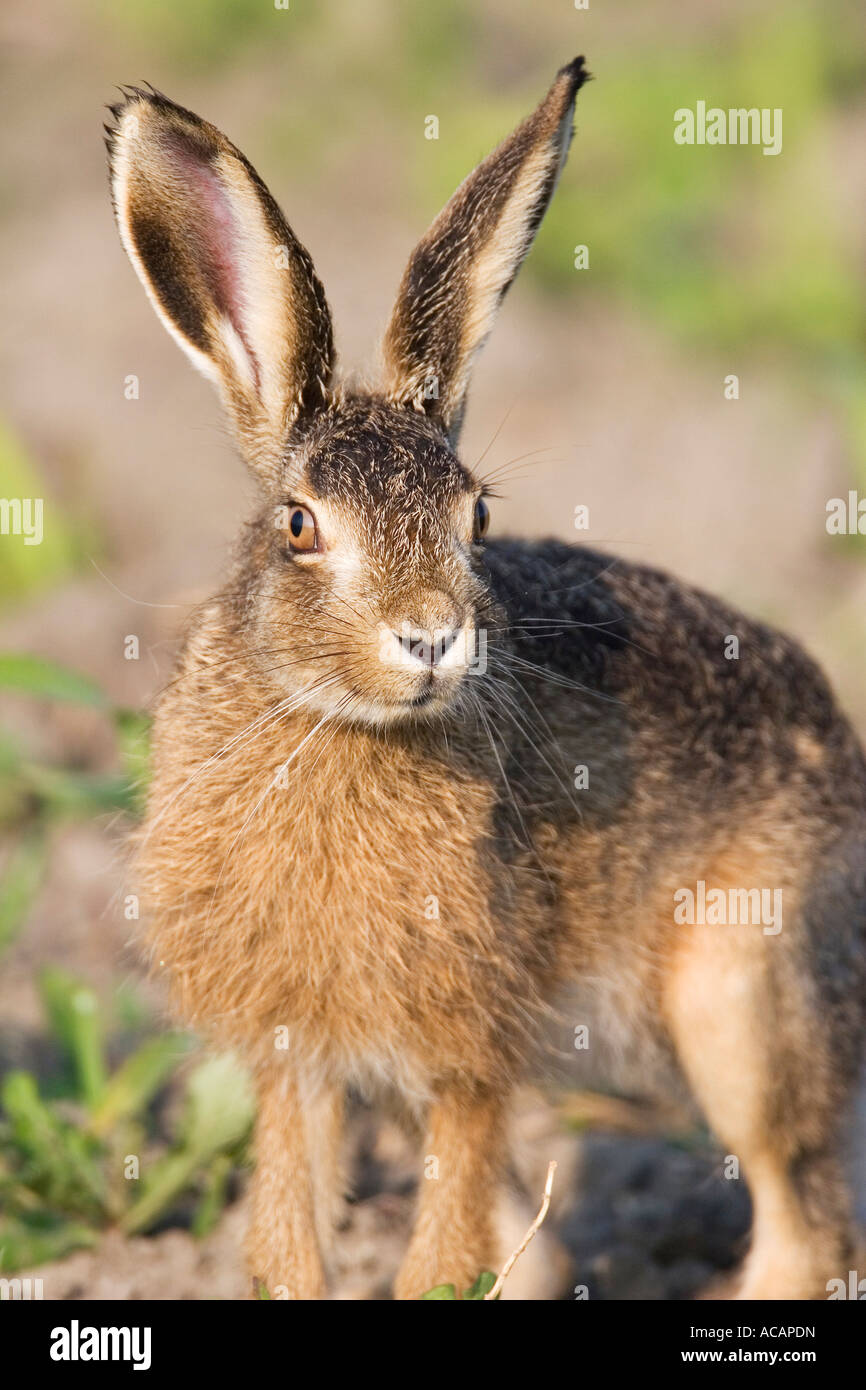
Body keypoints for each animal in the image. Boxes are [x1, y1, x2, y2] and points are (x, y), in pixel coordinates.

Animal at [106, 56, 866, 1301]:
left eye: (475, 520)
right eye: (298, 526)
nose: (430, 638)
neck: (341, 730)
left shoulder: (467, 1052)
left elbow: (439, 1250)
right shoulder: (298, 1059)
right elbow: (288, 1238)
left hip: (739, 998)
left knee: (800, 1220)